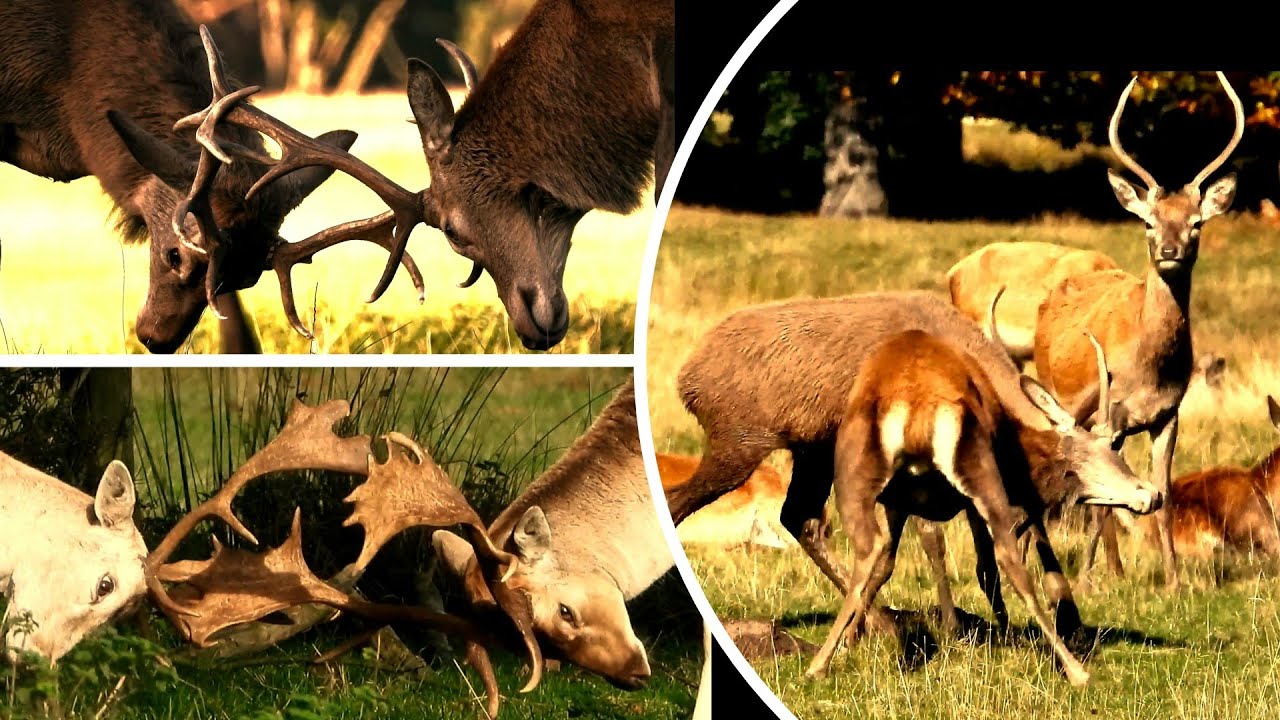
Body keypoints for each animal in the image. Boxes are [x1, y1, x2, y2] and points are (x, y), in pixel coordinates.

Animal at [806, 328, 1159, 685]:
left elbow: (884, 567)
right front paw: (1005, 635)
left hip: (854, 480)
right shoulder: (975, 504)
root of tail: (917, 406)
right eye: (1111, 446)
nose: (1151, 494)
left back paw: (818, 664)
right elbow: (986, 570)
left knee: (867, 549)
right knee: (1009, 559)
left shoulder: (897, 502)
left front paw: (851, 640)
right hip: (980, 472)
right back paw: (1074, 670)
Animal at [1032, 71, 1245, 591]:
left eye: (1196, 222)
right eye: (1148, 222)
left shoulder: (1169, 413)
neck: (1149, 368)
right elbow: (1104, 495)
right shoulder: (1113, 413)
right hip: (1061, 395)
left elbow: (1162, 492)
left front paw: (1174, 580)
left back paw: (1115, 568)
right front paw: (1086, 581)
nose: (1169, 250)